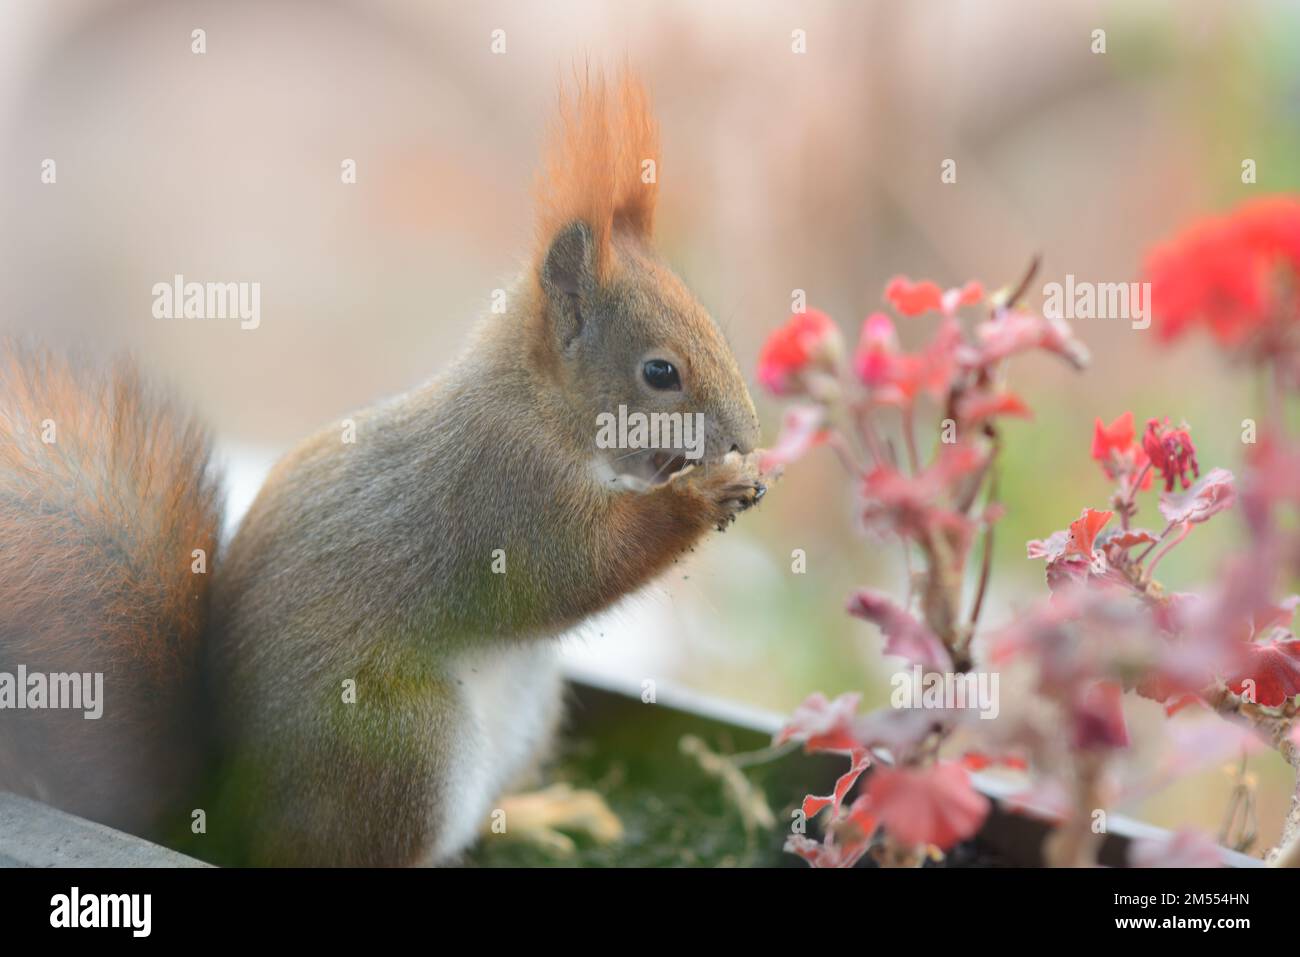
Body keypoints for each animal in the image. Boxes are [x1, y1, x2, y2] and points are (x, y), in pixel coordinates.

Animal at [0, 69, 766, 866]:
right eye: (660, 372)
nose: (748, 434)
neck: (539, 403)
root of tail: (232, 813)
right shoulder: (503, 489)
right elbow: (576, 567)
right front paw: (703, 494)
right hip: (402, 742)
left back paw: (538, 813)